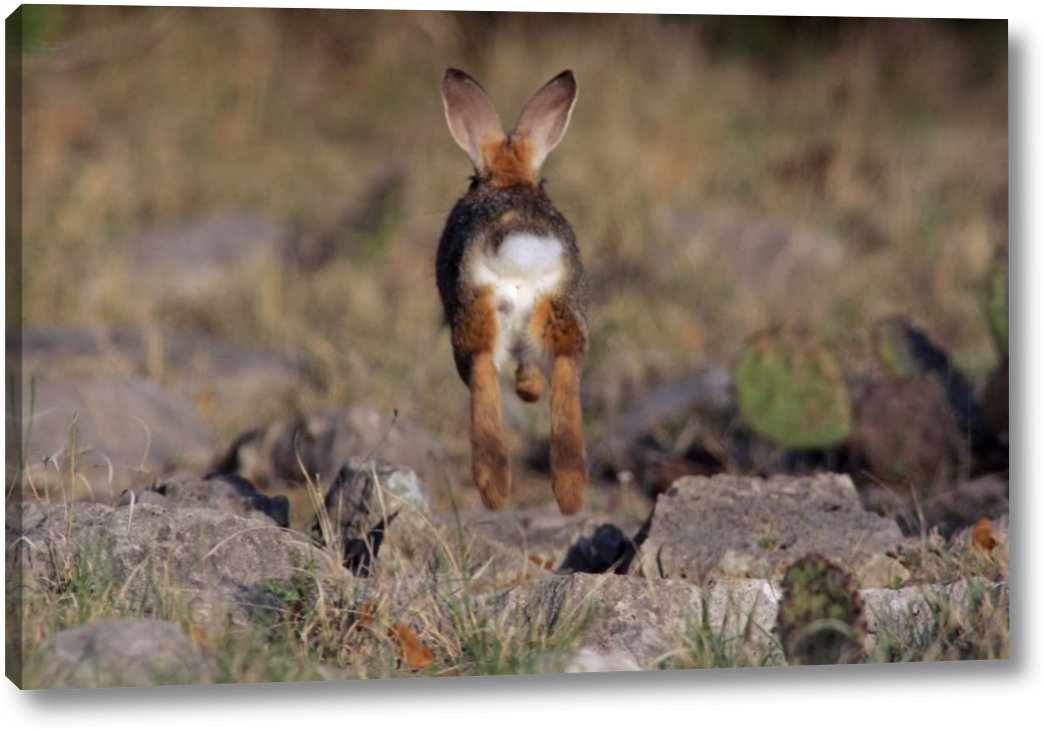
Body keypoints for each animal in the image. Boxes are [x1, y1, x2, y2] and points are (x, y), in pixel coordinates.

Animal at [436, 68, 588, 515]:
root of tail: (521, 244)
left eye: (472, 179)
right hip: (563, 310)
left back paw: (493, 489)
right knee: (566, 370)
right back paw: (570, 494)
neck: (509, 181)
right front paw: (529, 391)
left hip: (474, 314)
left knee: (483, 372)